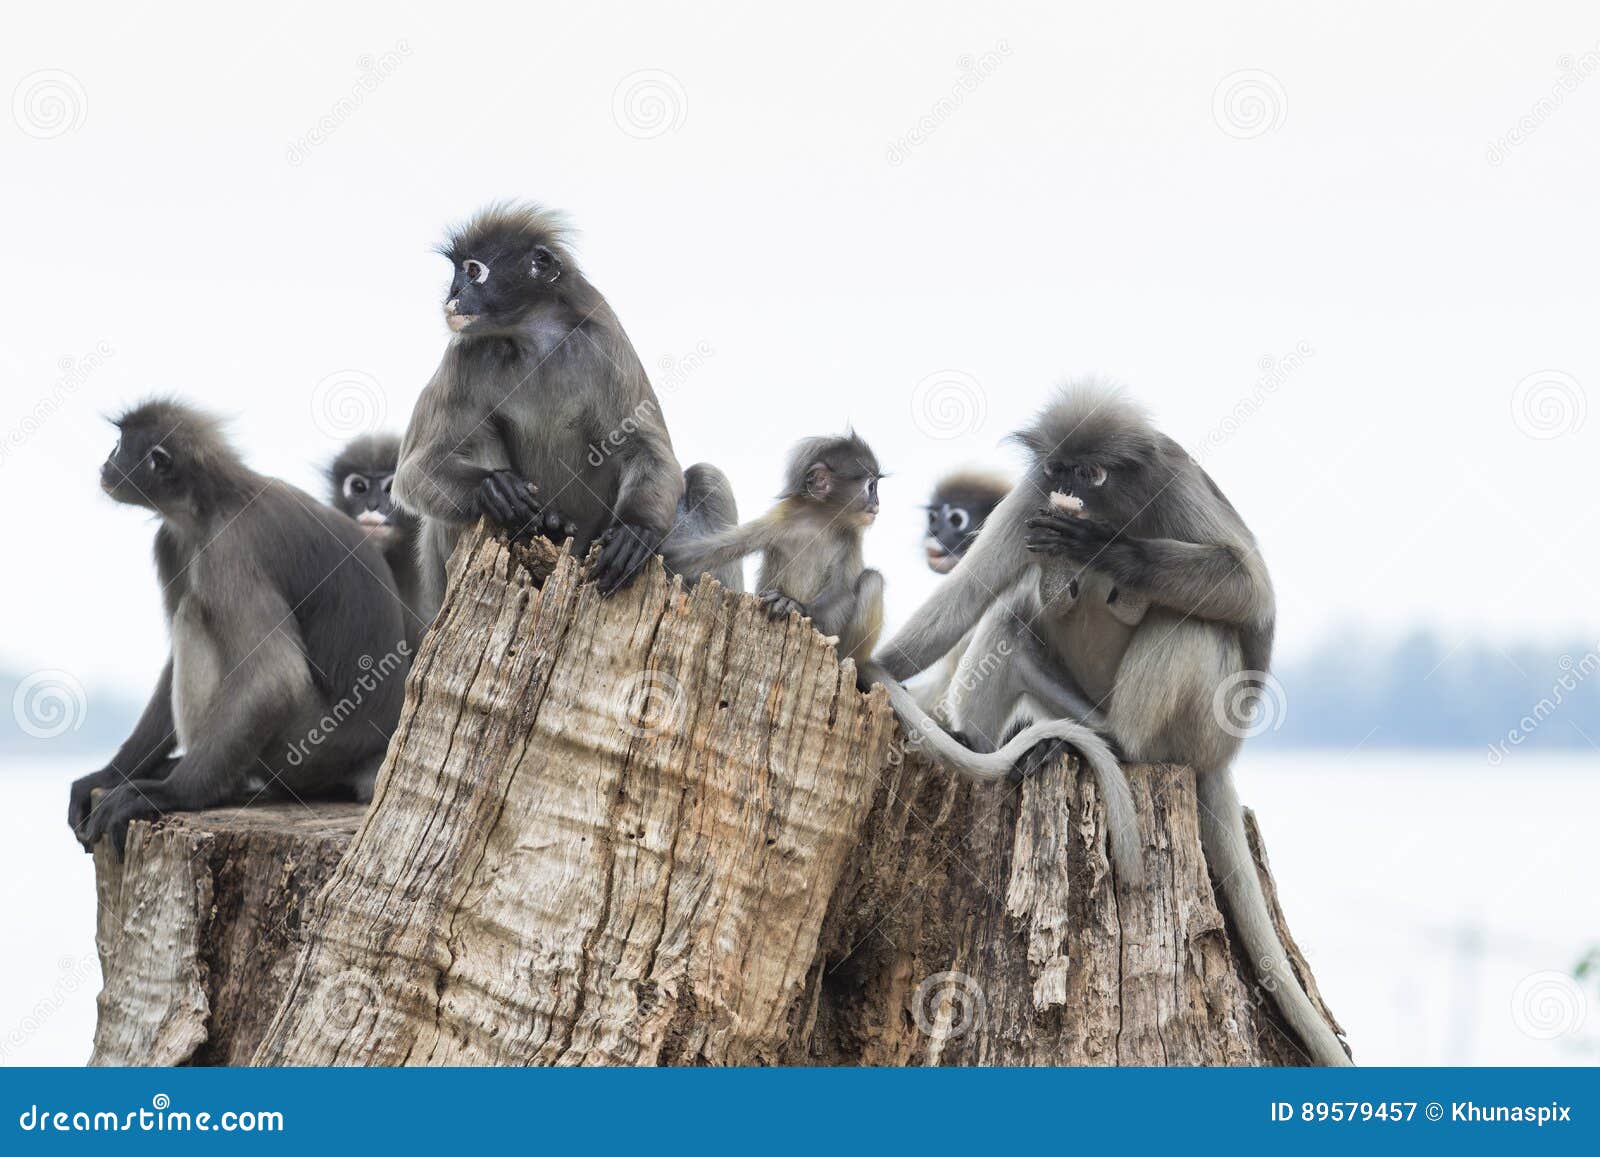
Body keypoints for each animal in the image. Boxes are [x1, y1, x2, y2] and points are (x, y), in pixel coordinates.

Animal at [68, 399, 409, 858]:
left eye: (120, 445)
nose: (107, 463)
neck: (210, 505)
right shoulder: (173, 542)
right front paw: (111, 774)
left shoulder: (230, 552)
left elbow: (273, 677)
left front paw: (168, 793)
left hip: (305, 746)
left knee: (195, 614)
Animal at [392, 202, 740, 620]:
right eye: (458, 273)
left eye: (473, 271)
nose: (453, 293)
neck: (537, 342)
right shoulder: (464, 355)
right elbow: (414, 472)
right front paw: (495, 490)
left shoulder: (603, 347)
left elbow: (648, 451)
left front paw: (635, 531)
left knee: (706, 475)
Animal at [664, 434, 885, 672]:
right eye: (871, 486)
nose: (877, 503)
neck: (818, 521)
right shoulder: (779, 519)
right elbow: (714, 550)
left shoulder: (850, 537)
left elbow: (843, 590)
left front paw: (794, 605)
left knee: (872, 579)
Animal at [873, 380, 1350, 1066]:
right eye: (1060, 469)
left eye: (1090, 472)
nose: (1068, 486)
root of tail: (1221, 760)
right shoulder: (1034, 498)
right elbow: (969, 595)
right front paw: (873, 664)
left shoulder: (1171, 478)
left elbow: (1251, 591)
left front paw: (1107, 549)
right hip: (1069, 699)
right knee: (1007, 623)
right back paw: (987, 746)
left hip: (1202, 729)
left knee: (1195, 623)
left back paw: (1118, 742)